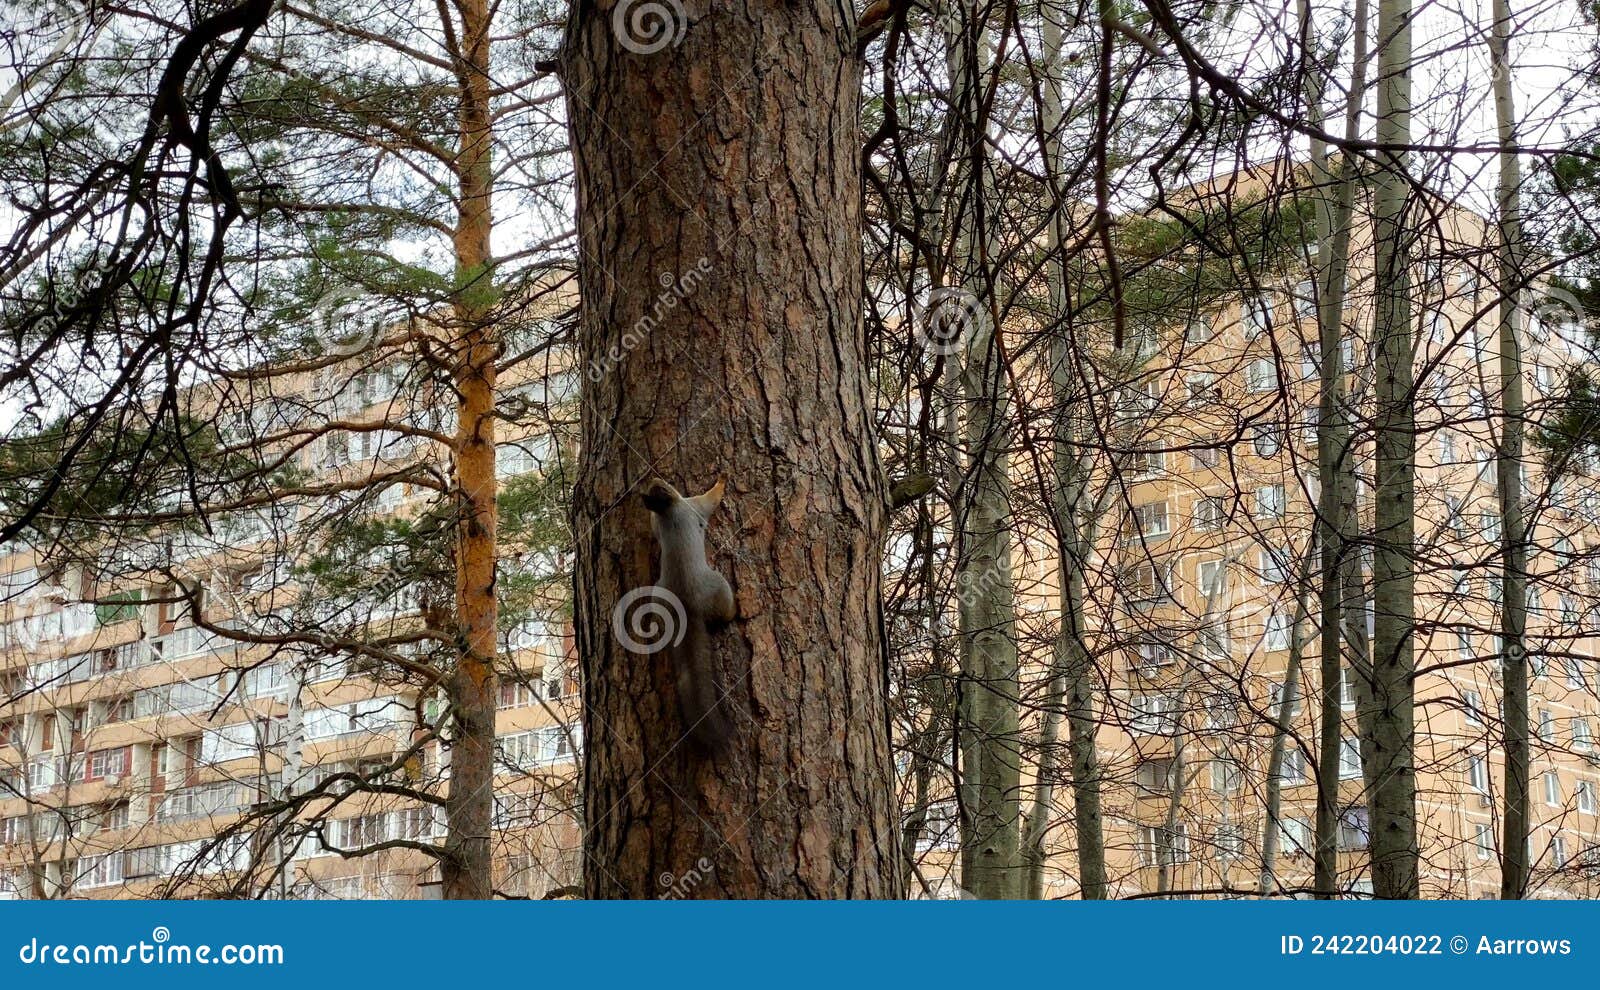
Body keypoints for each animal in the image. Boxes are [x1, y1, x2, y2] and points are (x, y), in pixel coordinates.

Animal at [641, 477, 736, 749]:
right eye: (666, 486)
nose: (655, 477)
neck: (668, 510)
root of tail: (685, 604)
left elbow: (653, 529)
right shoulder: (694, 506)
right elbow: (711, 498)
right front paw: (721, 479)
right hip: (718, 585)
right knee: (725, 611)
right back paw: (736, 610)